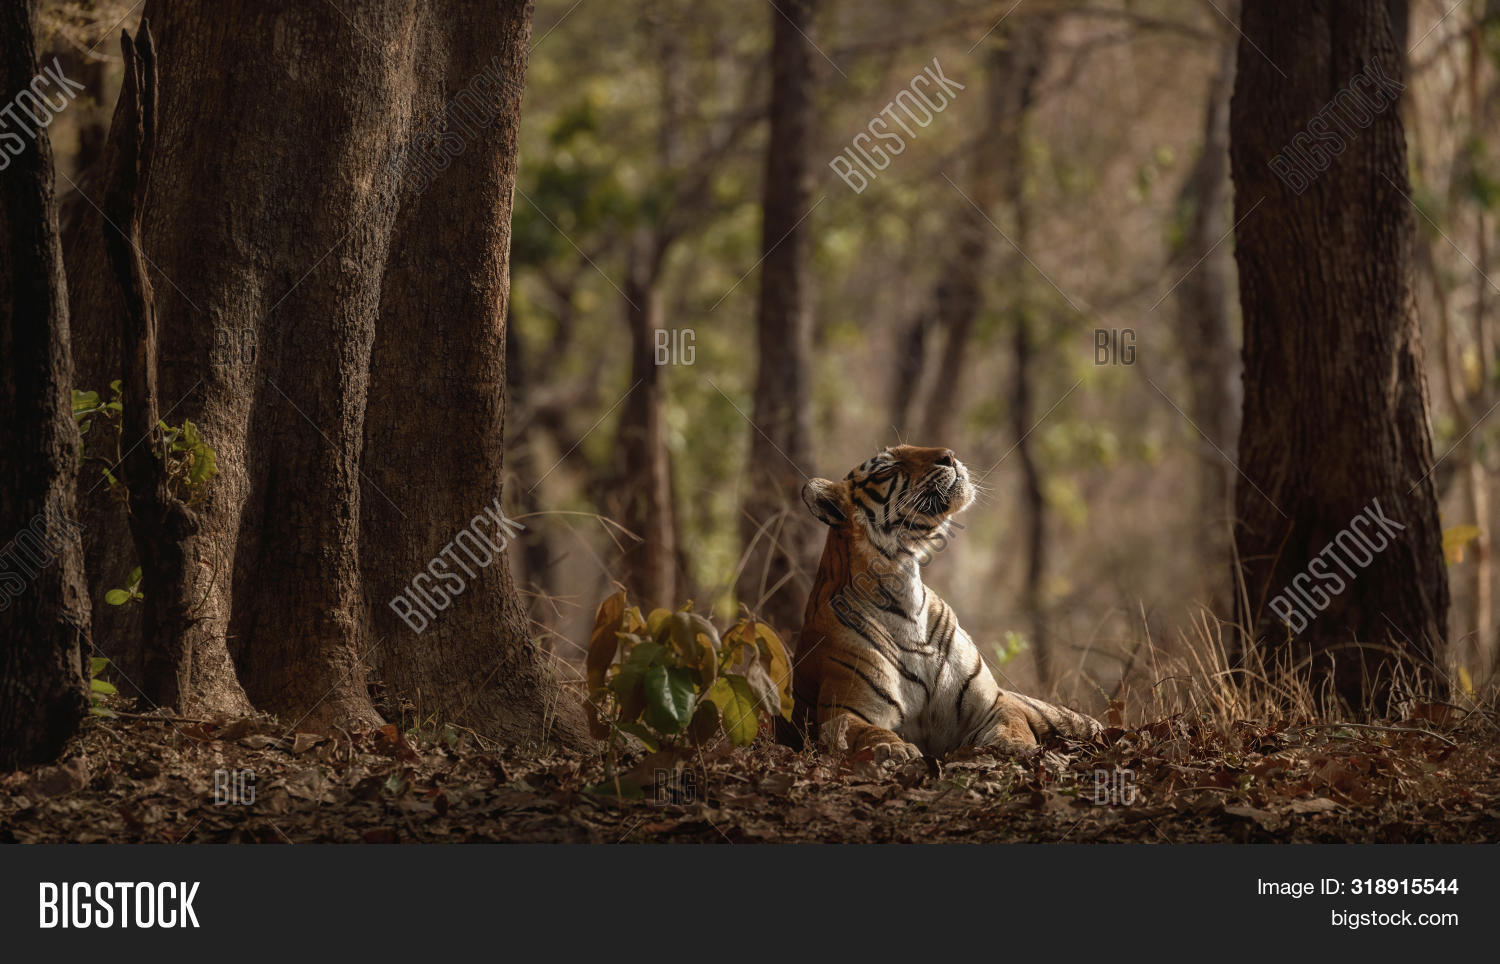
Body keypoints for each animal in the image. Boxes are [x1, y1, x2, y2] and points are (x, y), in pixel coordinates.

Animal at [786, 444, 1102, 762]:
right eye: (886, 469)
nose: (949, 455)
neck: (906, 595)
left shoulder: (992, 703)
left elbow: (1013, 722)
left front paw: (1013, 745)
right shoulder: (846, 711)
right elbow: (866, 731)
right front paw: (894, 748)